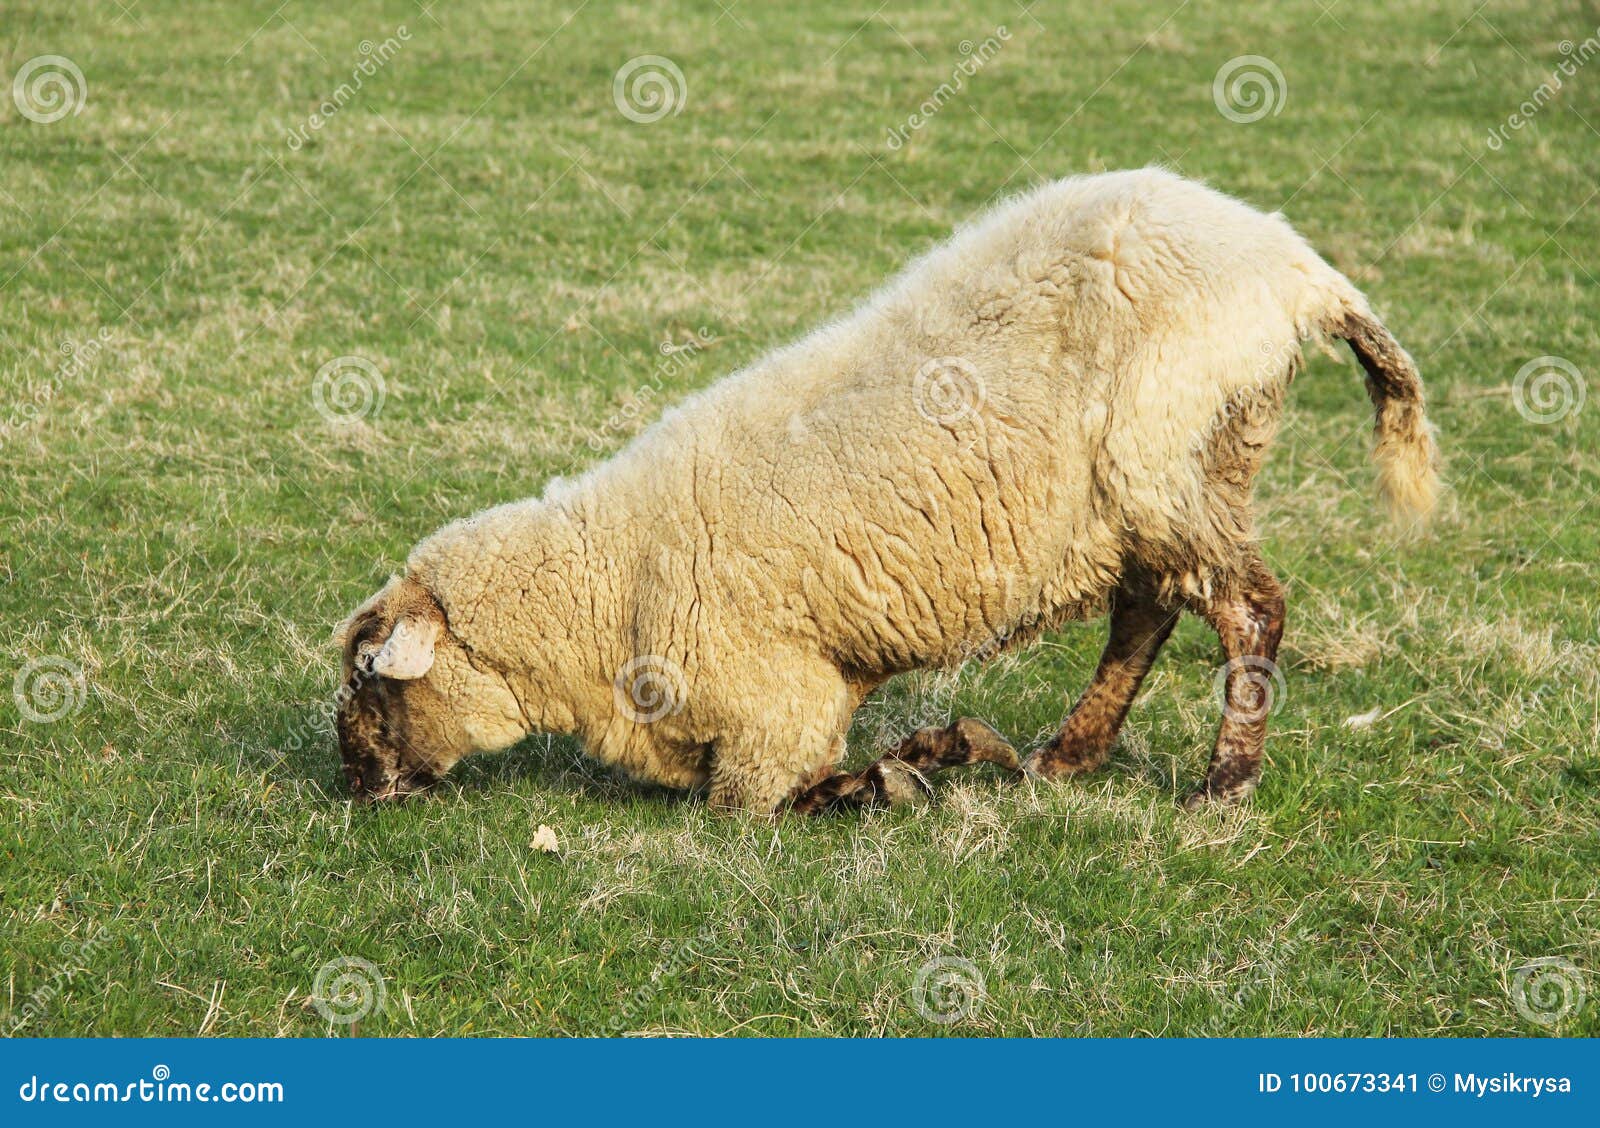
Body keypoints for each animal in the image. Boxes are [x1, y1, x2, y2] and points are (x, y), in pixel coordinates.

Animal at [335, 167, 1439, 814]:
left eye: (370, 681)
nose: (350, 785)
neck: (605, 587)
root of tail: (1299, 270)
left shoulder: (773, 719)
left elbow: (780, 800)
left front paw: (912, 766)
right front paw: (941, 754)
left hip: (1167, 459)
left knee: (1248, 606)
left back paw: (1220, 785)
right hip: (1175, 482)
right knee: (1148, 611)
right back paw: (1067, 757)